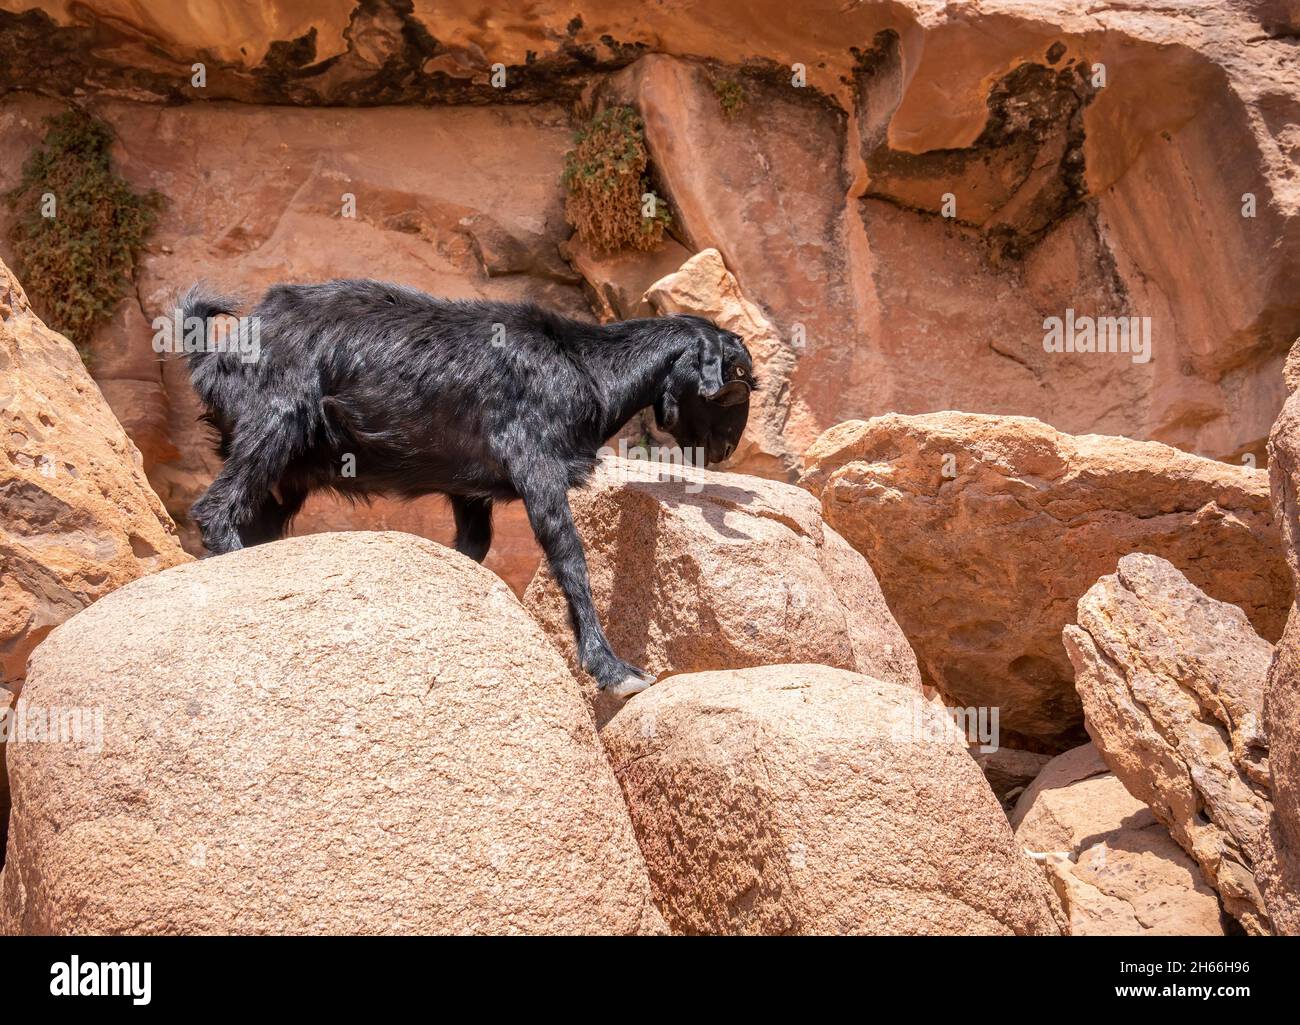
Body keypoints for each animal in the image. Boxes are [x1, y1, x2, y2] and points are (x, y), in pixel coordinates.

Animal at [180, 278, 754, 697]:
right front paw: (614, 671)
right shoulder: (534, 460)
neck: (585, 366)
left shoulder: (470, 490)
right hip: (274, 422)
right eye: (737, 383)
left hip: (287, 477)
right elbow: (569, 557)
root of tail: (216, 357)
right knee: (215, 508)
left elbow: (473, 548)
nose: (726, 451)